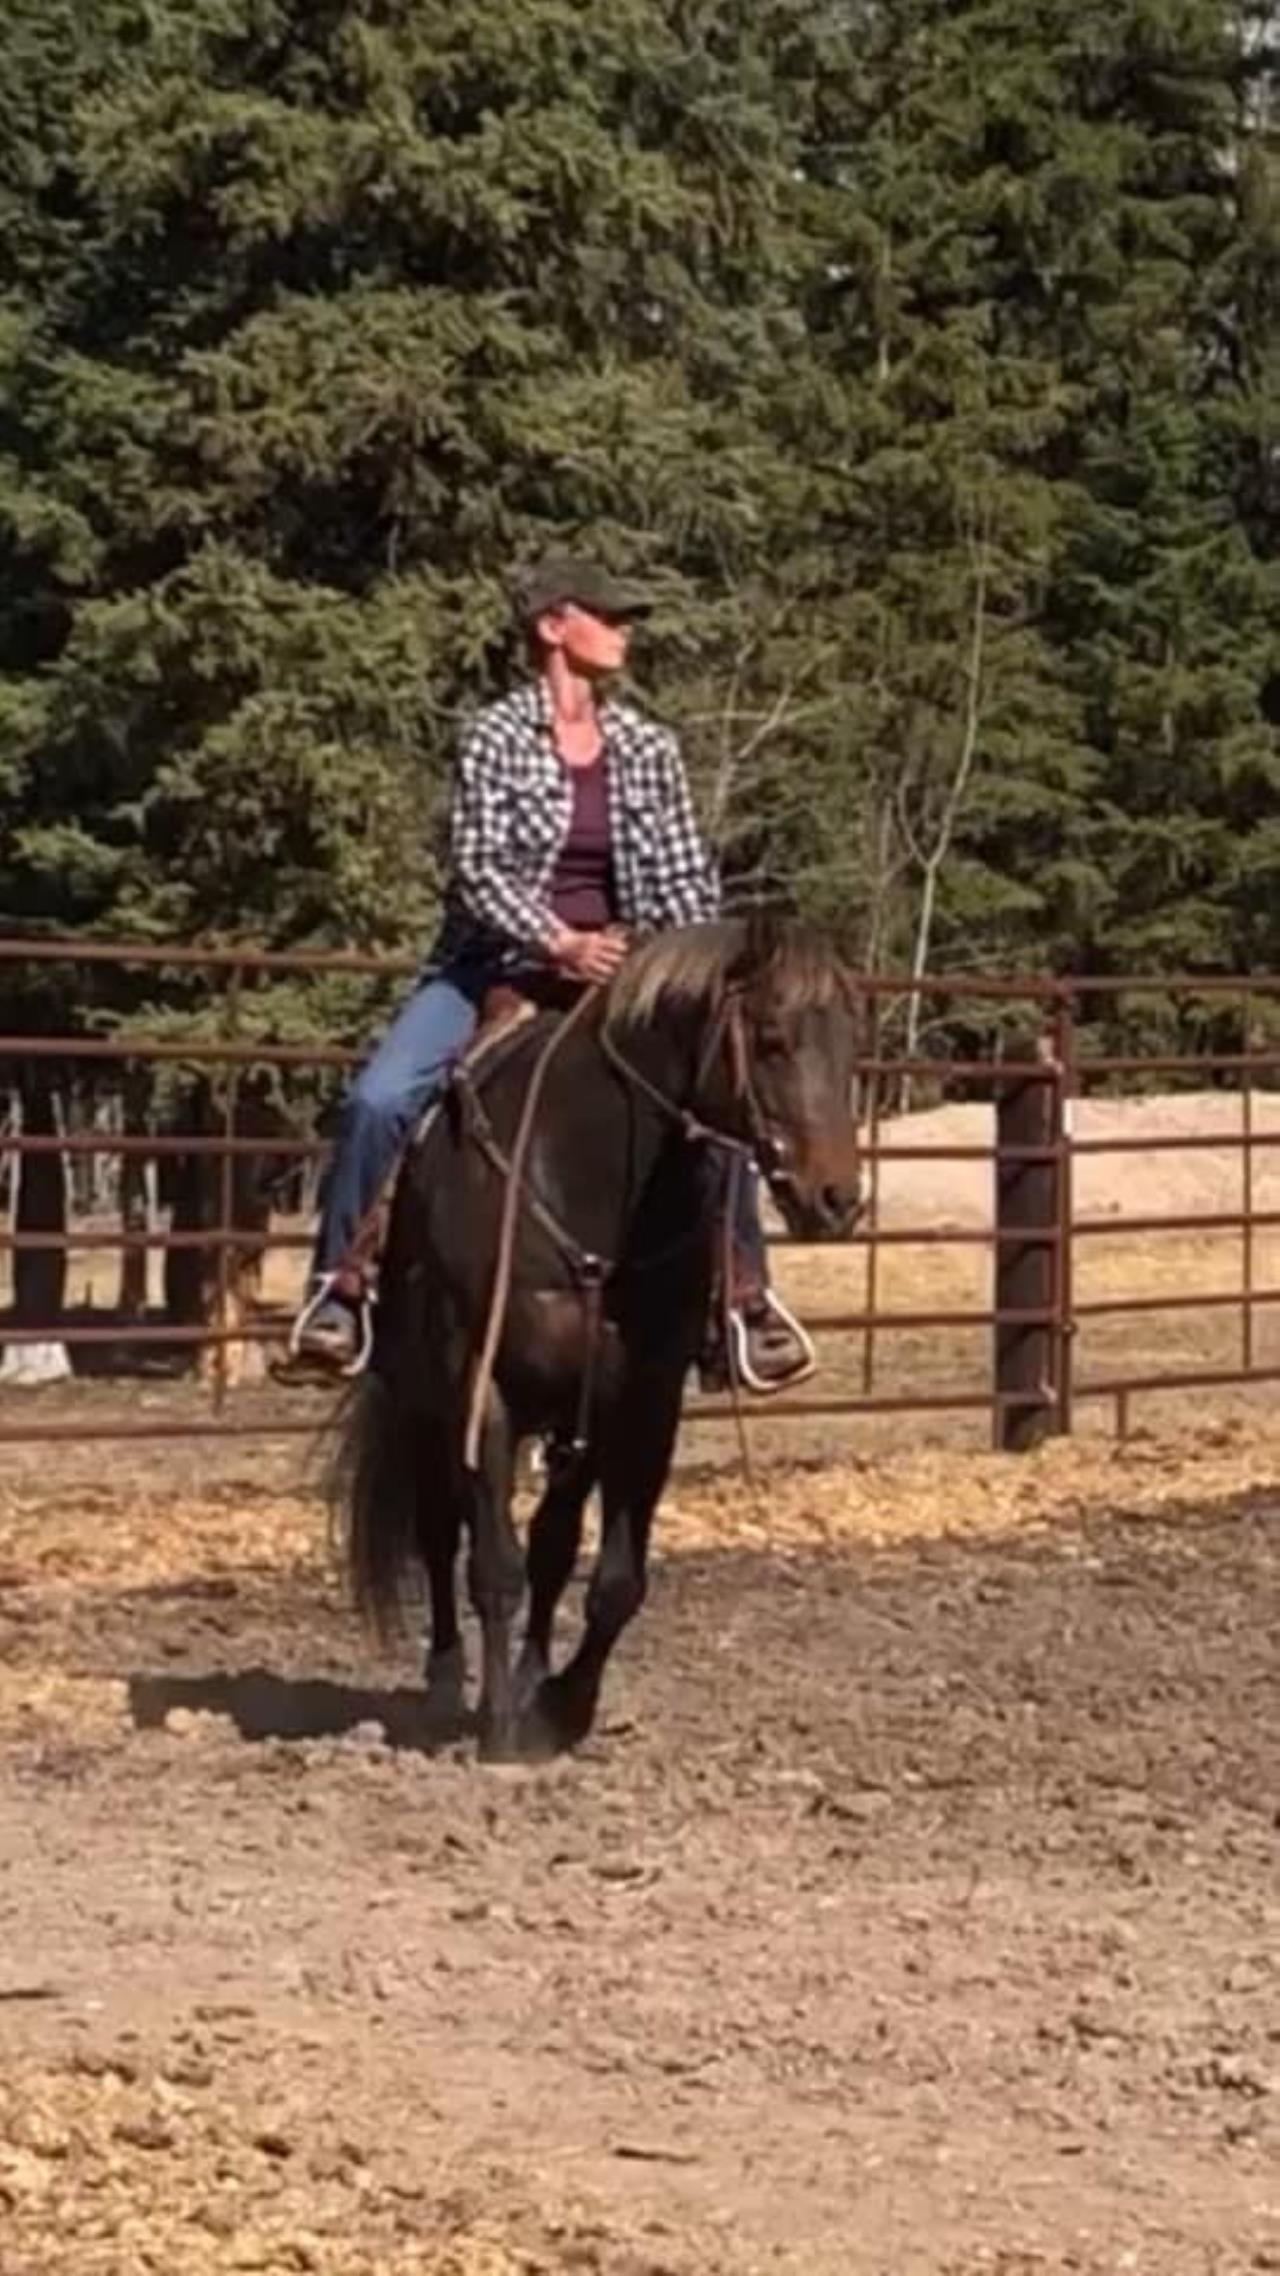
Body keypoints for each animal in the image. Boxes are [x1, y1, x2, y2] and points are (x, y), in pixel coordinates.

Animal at [339, 915, 864, 1761]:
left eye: (853, 1041)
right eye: (773, 1039)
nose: (837, 1199)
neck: (583, 1182)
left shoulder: (645, 1402)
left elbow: (614, 1579)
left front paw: (560, 1706)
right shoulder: (483, 1389)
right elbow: (494, 1567)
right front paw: (500, 1729)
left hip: (572, 1422)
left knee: (552, 1545)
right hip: (423, 1399)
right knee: (440, 1530)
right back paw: (448, 1685)